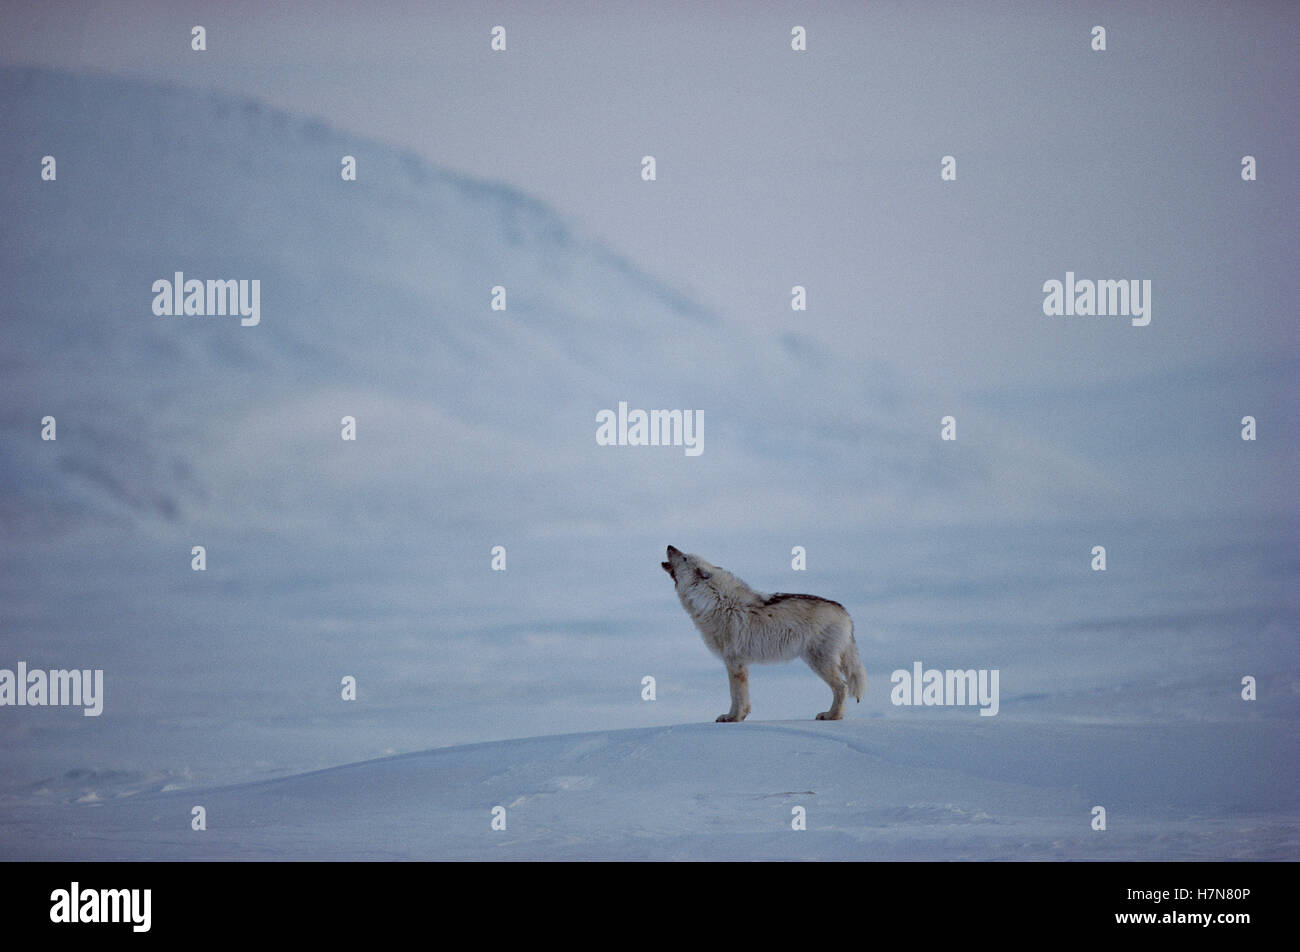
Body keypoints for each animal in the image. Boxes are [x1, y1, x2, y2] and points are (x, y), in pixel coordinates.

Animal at [661, 545, 867, 722]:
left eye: (684, 557)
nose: (669, 546)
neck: (714, 601)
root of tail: (844, 612)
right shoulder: (739, 664)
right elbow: (741, 698)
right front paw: (738, 717)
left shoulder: (734, 662)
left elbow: (736, 695)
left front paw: (732, 718)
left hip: (820, 662)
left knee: (842, 687)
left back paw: (832, 715)